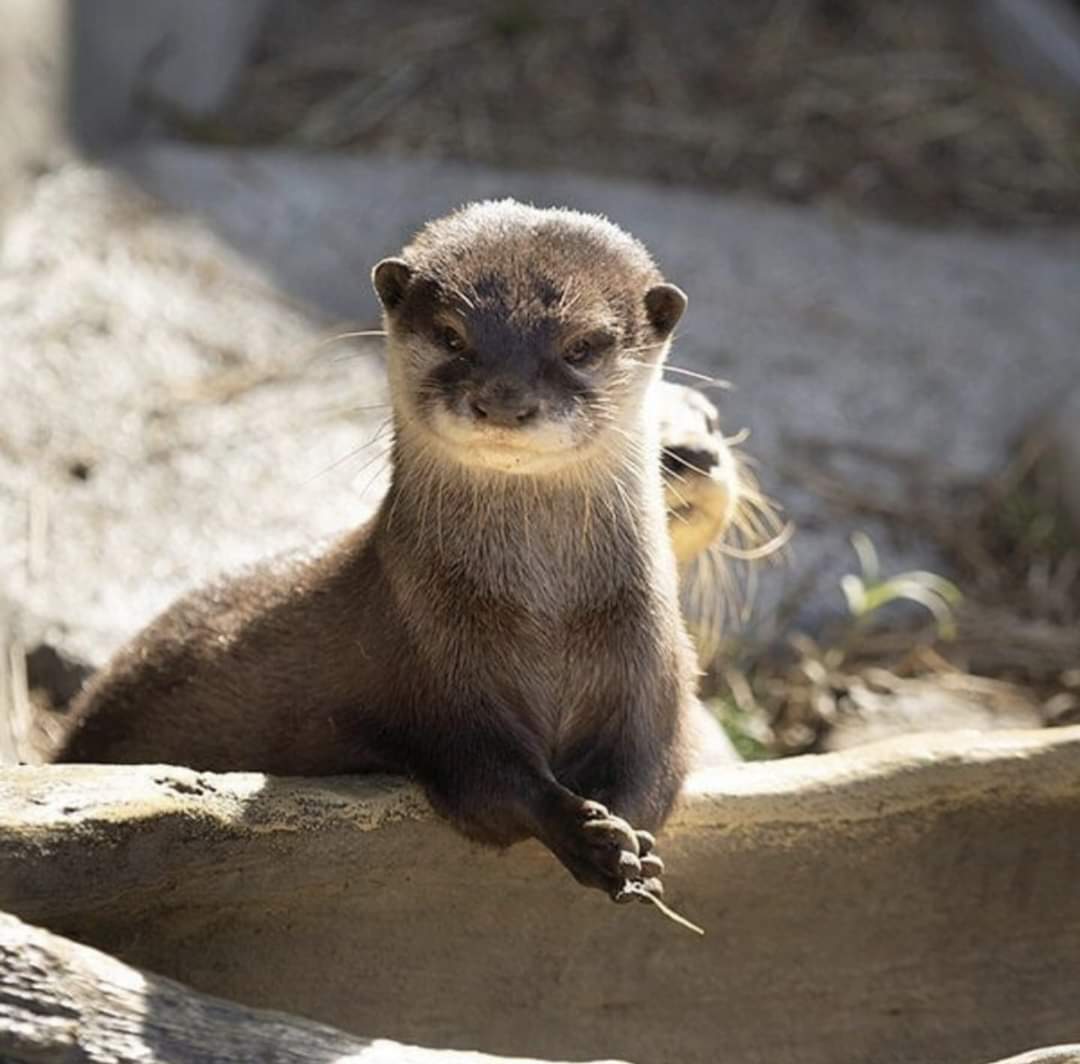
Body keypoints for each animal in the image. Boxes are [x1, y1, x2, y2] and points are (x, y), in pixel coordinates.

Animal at [56, 200, 703, 902]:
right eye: (452, 335)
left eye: (581, 346)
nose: (503, 399)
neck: (547, 614)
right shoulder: (434, 671)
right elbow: (488, 780)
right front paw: (588, 835)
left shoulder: (653, 673)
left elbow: (653, 777)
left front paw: (627, 838)